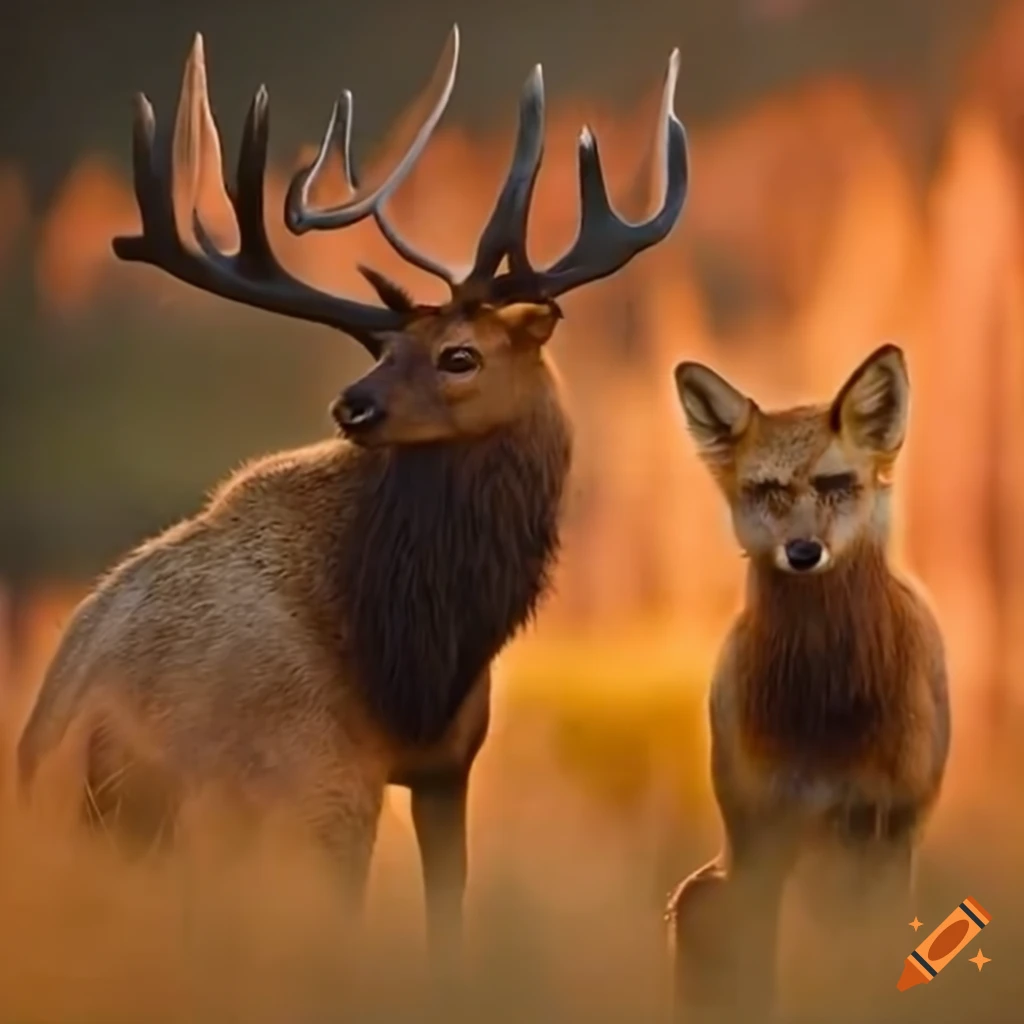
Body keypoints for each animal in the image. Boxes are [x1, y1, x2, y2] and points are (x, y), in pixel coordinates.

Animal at [16, 26, 689, 962]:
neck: (423, 643)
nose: (351, 404)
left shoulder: (442, 762)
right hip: (287, 798)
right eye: (385, 351)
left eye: (457, 355)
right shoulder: (400, 769)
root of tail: (98, 739)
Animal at [665, 344, 950, 1018]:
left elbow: (869, 962)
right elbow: (759, 974)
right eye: (766, 490)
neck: (823, 715)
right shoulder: (759, 827)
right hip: (725, 879)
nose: (802, 551)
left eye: (836, 485)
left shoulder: (884, 825)